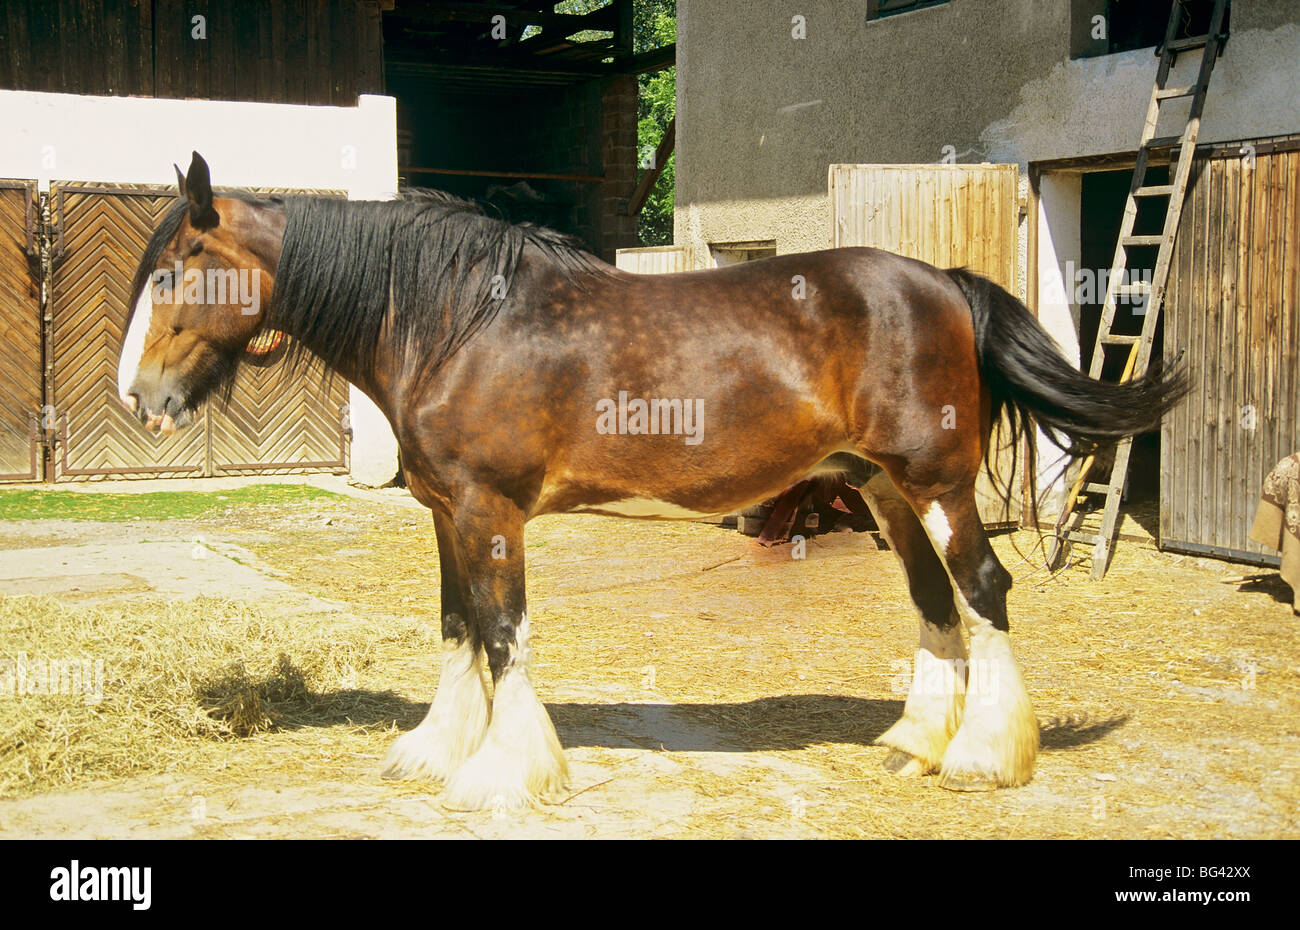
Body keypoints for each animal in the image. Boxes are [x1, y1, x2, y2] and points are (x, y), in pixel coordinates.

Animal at [116, 152, 1186, 810]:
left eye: (175, 271)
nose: (141, 397)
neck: (459, 321)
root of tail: (944, 284)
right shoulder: (446, 514)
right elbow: (460, 629)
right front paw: (437, 750)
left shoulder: (490, 511)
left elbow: (502, 634)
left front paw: (506, 775)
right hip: (883, 490)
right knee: (934, 600)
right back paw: (915, 742)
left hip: (937, 483)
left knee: (985, 590)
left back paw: (982, 757)